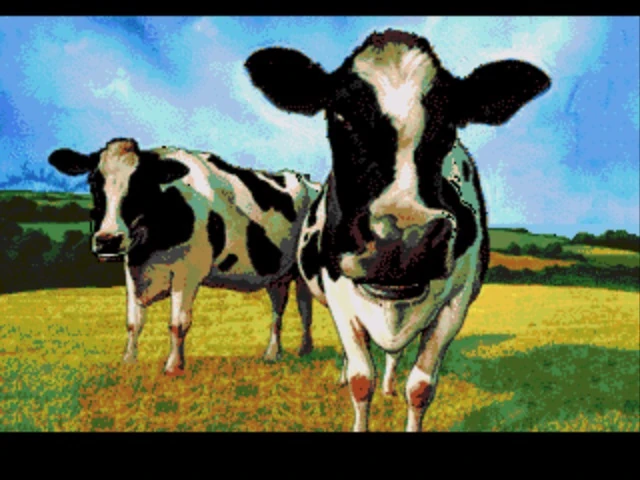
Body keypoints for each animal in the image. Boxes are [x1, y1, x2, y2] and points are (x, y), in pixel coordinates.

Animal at [48, 138, 323, 375]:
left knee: (304, 306)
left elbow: (178, 323)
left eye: (141, 184)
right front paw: (128, 361)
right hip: (276, 273)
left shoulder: (188, 271)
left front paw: (173, 366)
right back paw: (274, 353)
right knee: (278, 308)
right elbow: (133, 322)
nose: (108, 239)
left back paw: (304, 348)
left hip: (302, 270)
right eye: (93, 181)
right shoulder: (132, 269)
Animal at [245, 29, 551, 431]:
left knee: (394, 354)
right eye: (340, 114)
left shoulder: (455, 303)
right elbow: (361, 380)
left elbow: (420, 388)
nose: (404, 238)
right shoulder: (339, 295)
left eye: (451, 122)